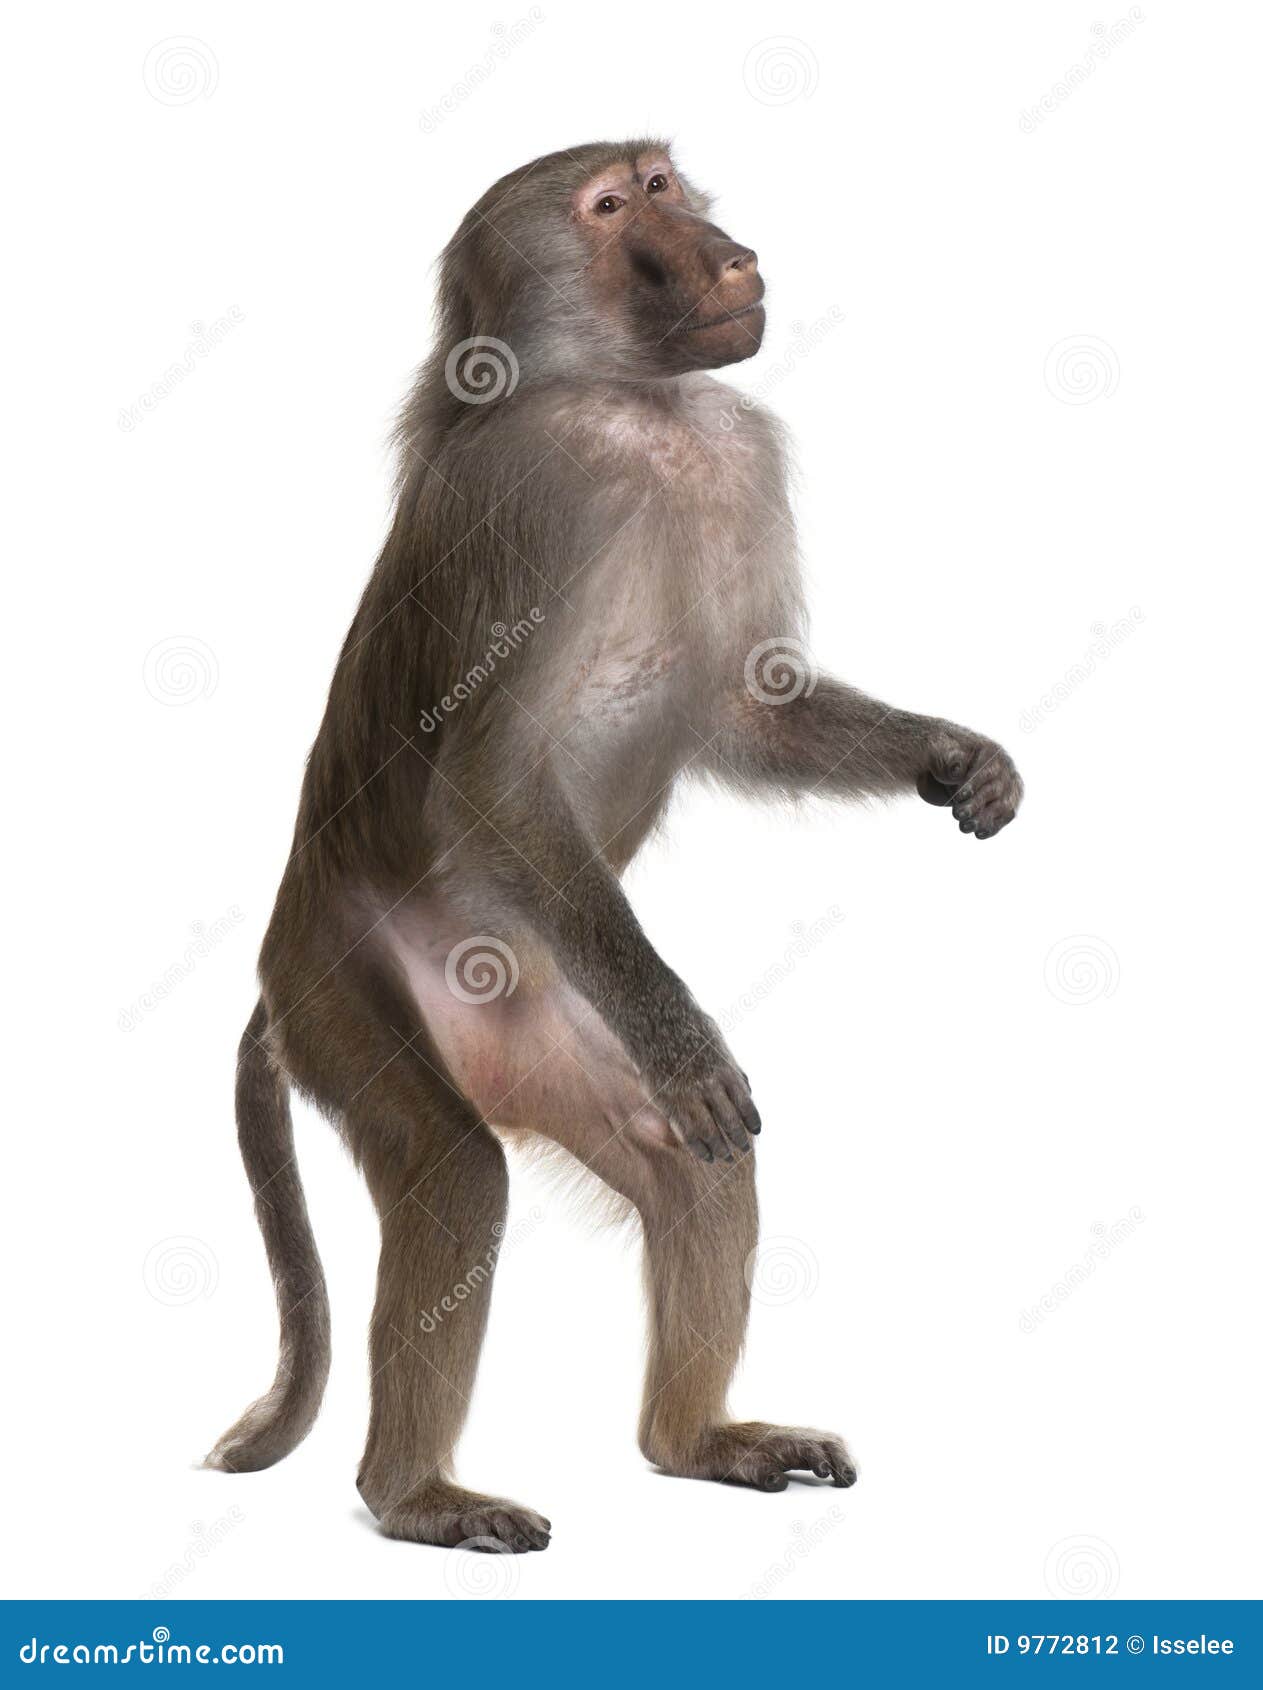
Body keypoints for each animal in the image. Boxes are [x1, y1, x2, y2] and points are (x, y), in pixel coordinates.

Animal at [205, 140, 1022, 1554]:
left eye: (664, 185)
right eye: (611, 208)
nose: (734, 254)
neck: (640, 408)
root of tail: (277, 968)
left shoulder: (736, 450)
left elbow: (754, 709)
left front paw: (958, 758)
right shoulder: (542, 489)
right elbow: (485, 777)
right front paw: (692, 1047)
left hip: (543, 1015)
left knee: (688, 1166)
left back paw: (695, 1442)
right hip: (342, 990)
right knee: (455, 1170)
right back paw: (411, 1496)